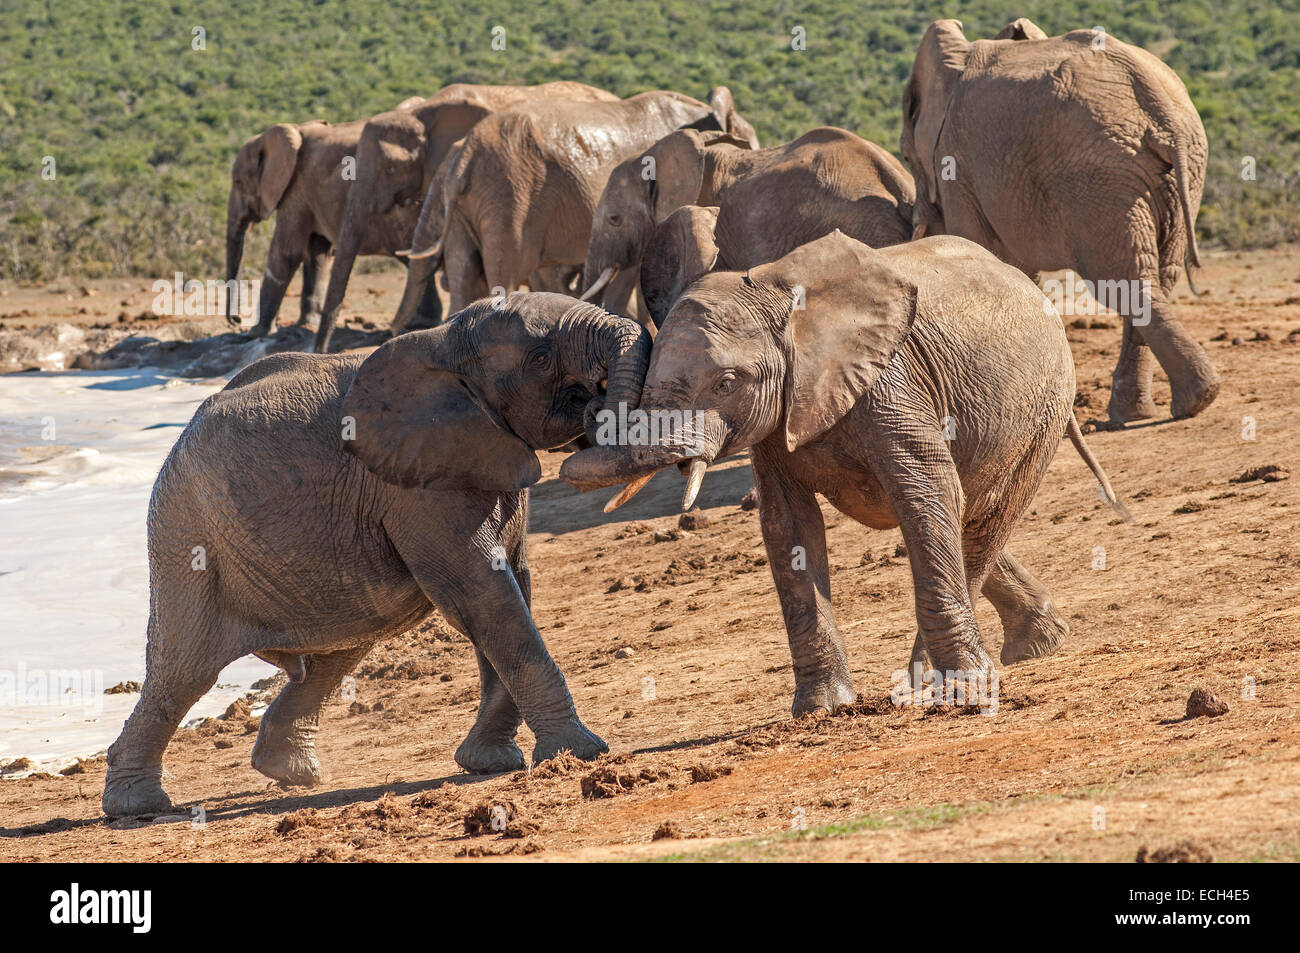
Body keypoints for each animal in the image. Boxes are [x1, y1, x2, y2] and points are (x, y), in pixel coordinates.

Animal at [102, 293, 652, 817]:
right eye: (540, 358)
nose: (596, 403)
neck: (447, 340)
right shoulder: (418, 486)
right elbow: (483, 593)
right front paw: (582, 754)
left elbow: (510, 588)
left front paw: (491, 763)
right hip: (187, 534)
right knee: (185, 670)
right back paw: (138, 806)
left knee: (340, 649)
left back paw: (292, 774)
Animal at [224, 96, 425, 335]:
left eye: (238, 182)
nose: (236, 321)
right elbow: (316, 253)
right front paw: (306, 325)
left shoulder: (296, 188)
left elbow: (286, 254)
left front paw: (255, 335)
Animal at [560, 232, 1128, 716]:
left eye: (726, 382)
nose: (582, 411)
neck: (779, 297)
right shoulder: (780, 420)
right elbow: (788, 524)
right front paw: (822, 709)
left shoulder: (891, 383)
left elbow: (926, 492)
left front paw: (965, 691)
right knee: (968, 517)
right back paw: (1029, 647)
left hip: (1044, 411)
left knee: (980, 520)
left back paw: (935, 683)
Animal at [900, 18, 1217, 424]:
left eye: (905, 156)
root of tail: (1160, 108)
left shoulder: (955, 164)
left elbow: (985, 248)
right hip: (1178, 171)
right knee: (1158, 274)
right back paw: (1153, 410)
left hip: (1101, 176)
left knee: (1122, 278)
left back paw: (1186, 402)